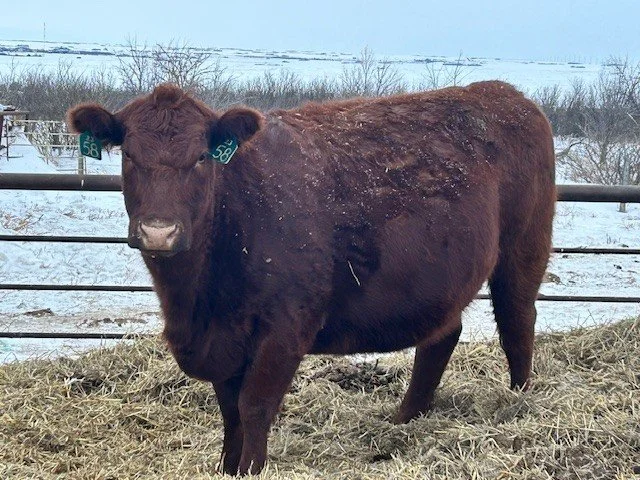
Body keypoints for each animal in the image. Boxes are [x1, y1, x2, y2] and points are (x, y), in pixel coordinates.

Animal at [68, 81, 555, 475]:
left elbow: (254, 407)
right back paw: (406, 417)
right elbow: (229, 413)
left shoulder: (285, 329)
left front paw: (251, 469)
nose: (159, 231)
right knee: (442, 337)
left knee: (517, 321)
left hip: (523, 249)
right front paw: (227, 467)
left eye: (202, 157)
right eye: (130, 156)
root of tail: (506, 93)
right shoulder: (224, 340)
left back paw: (520, 402)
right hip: (438, 283)